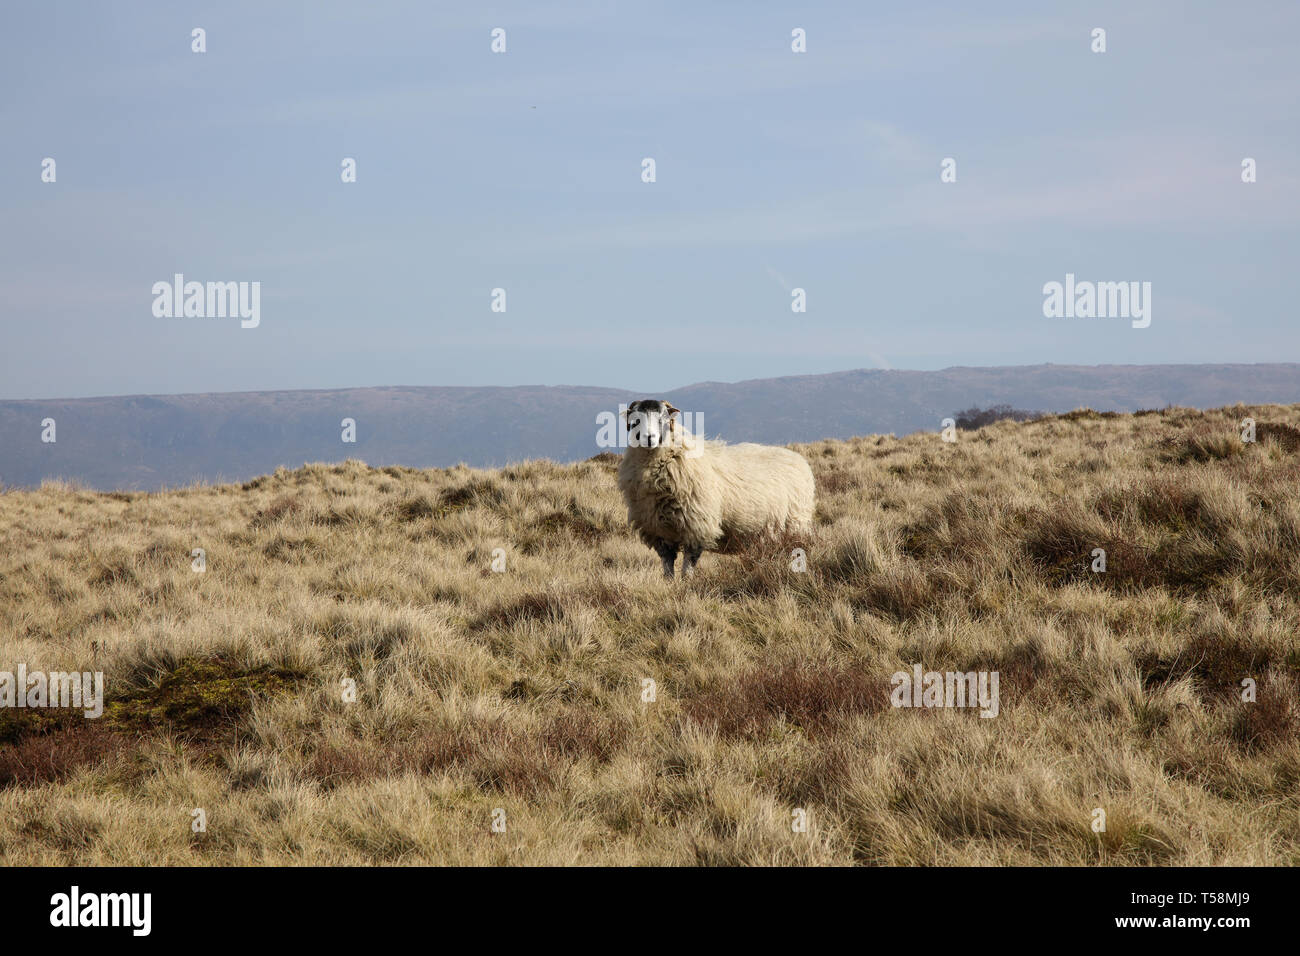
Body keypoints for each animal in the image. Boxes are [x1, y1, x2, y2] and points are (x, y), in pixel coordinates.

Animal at [617, 398, 815, 578]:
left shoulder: (697, 526)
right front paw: (669, 584)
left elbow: (688, 566)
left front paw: (687, 585)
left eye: (663, 419)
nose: (648, 438)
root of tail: (799, 459)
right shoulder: (658, 530)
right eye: (635, 421)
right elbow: (667, 566)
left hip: (795, 525)